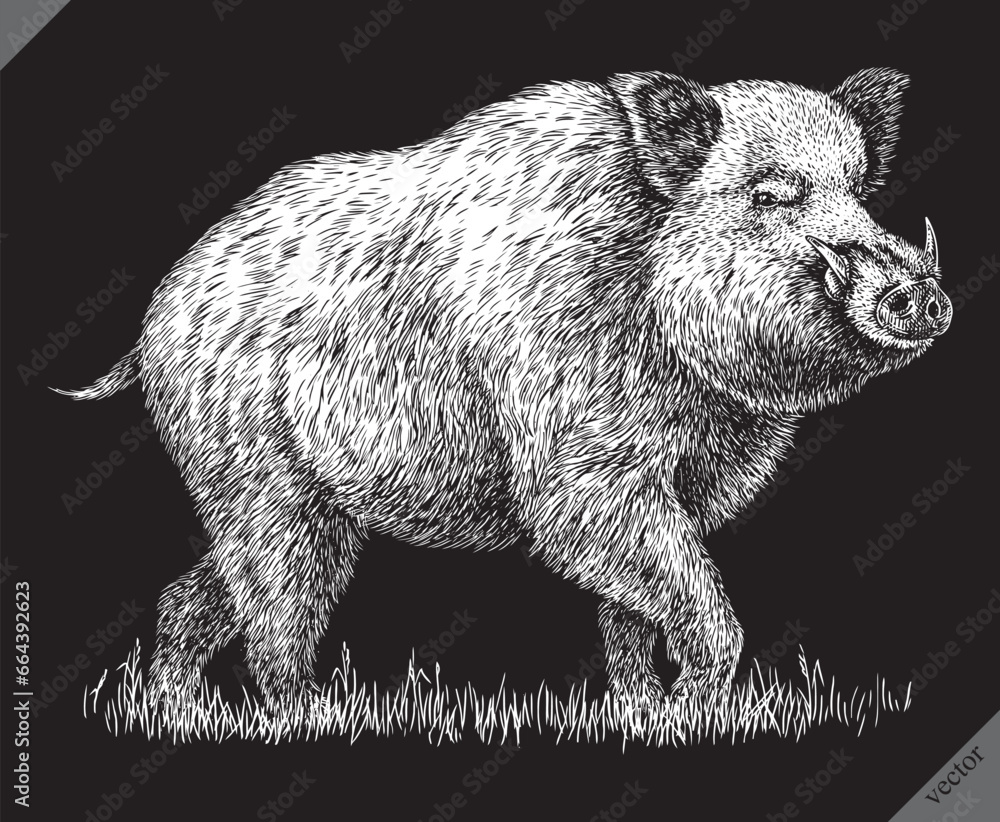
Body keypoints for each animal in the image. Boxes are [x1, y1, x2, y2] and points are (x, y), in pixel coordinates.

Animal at [58, 67, 951, 711]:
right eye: (770, 194)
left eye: (861, 192)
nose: (922, 295)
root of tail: (158, 315)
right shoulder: (578, 471)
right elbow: (696, 604)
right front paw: (688, 711)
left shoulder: (680, 482)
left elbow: (632, 613)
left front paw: (644, 713)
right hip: (257, 475)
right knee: (276, 603)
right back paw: (309, 716)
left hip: (276, 493)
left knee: (202, 592)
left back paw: (181, 712)